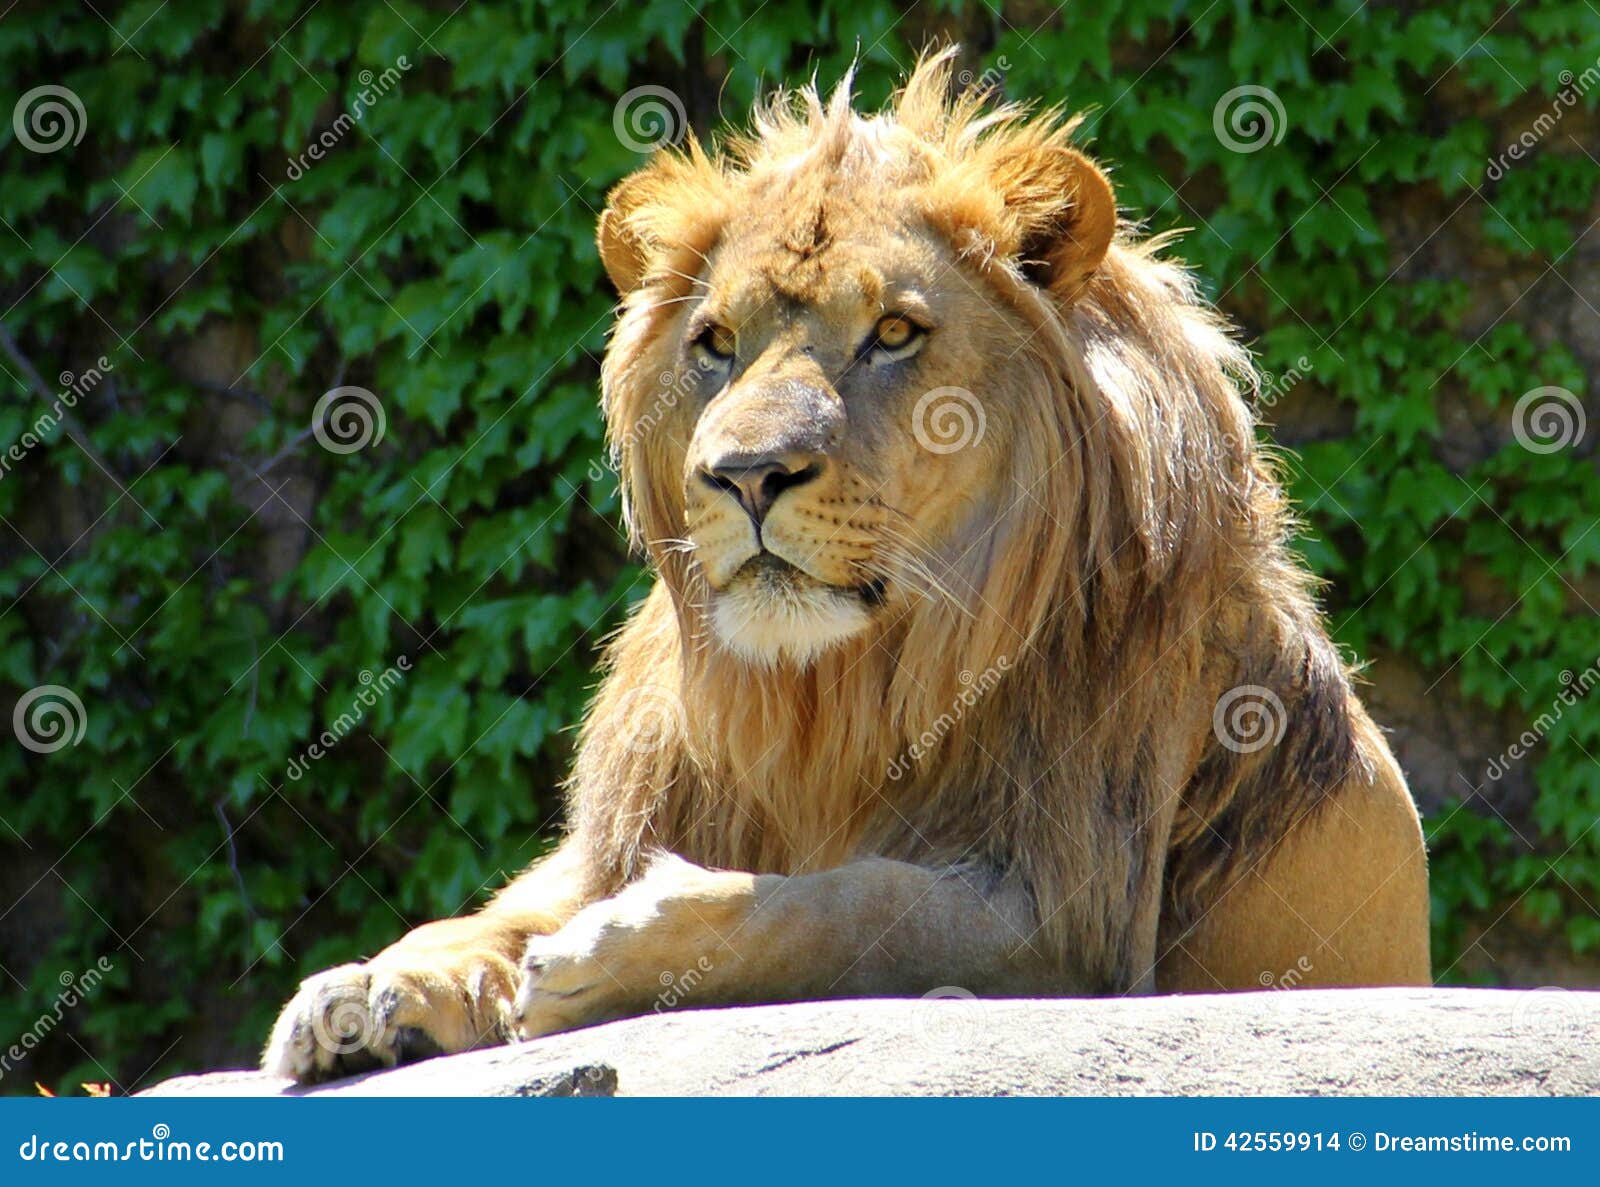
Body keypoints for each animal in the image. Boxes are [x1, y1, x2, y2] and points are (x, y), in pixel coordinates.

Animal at [264, 49, 1429, 1083]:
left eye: (895, 332)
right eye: (715, 343)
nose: (744, 475)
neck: (832, 691)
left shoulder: (1073, 919)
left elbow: (844, 907)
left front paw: (610, 952)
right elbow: (502, 912)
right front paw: (375, 985)